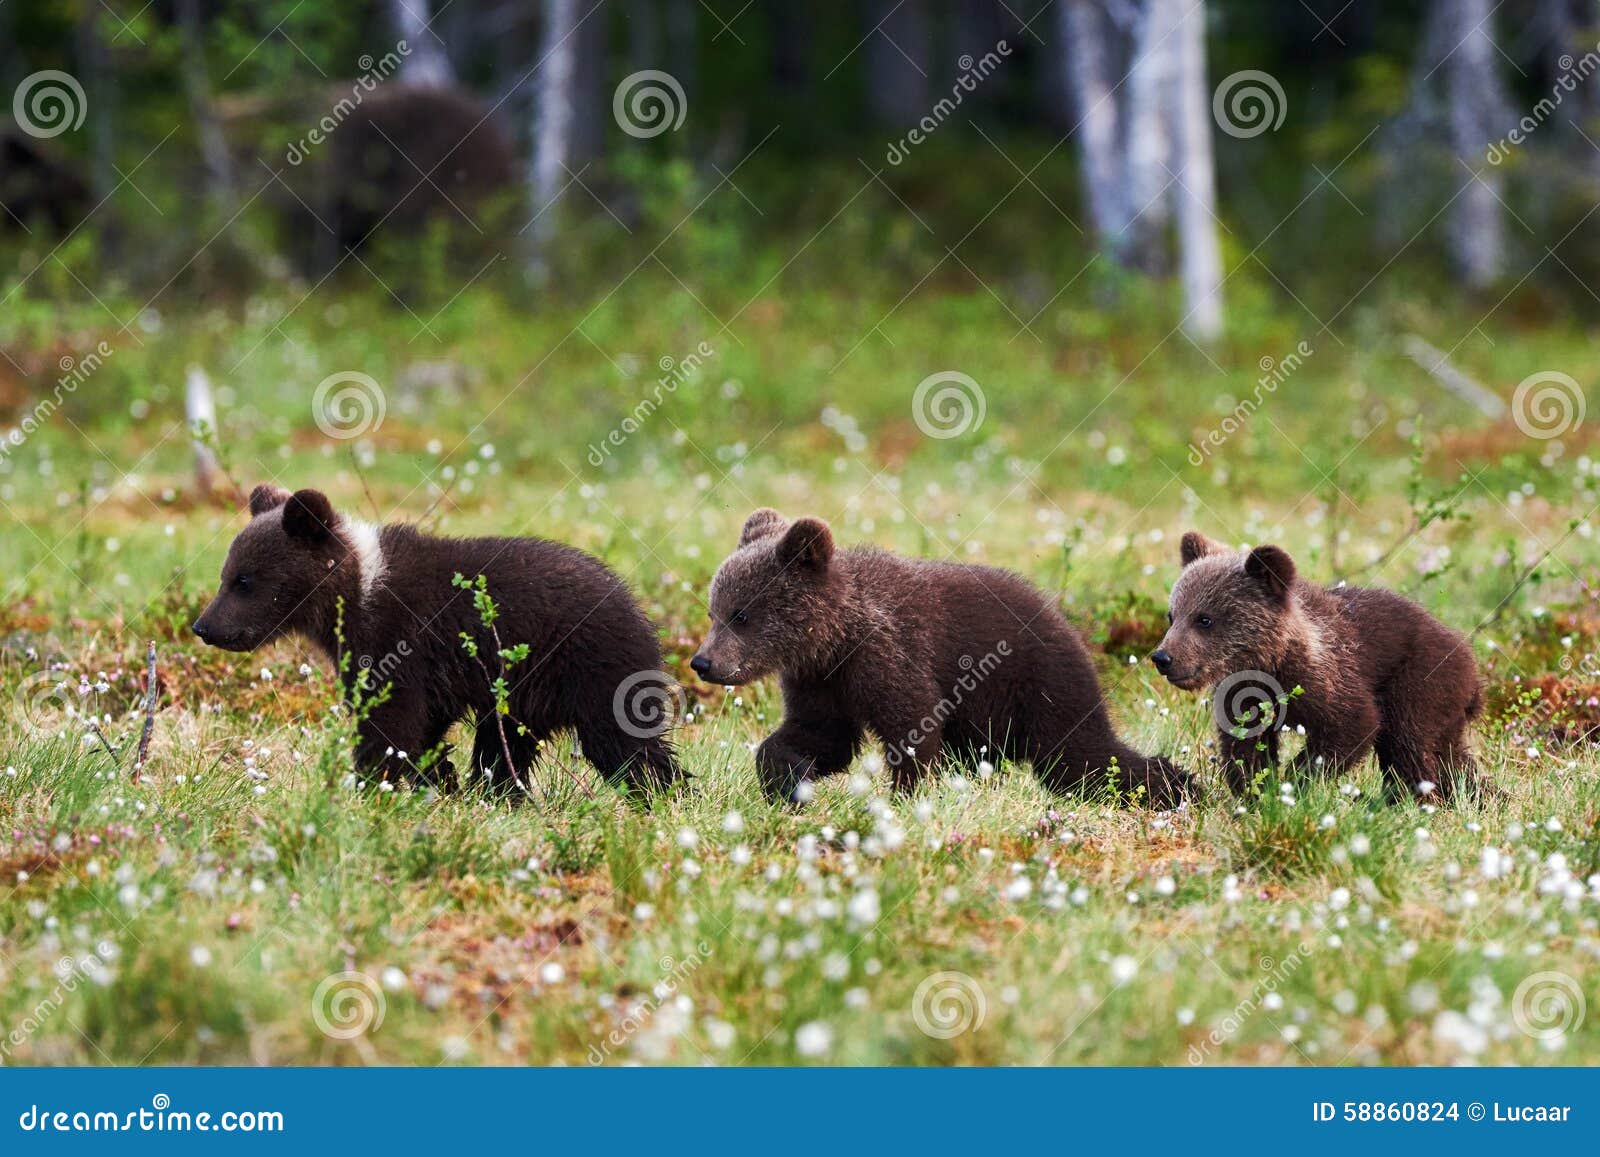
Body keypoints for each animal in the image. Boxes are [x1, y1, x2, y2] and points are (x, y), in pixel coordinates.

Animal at [192, 484, 680, 794]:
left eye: (244, 580)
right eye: (226, 575)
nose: (204, 627)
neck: (355, 592)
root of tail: (638, 605)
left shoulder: (396, 640)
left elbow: (389, 721)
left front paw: (372, 784)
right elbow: (424, 727)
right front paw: (438, 779)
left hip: (590, 666)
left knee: (622, 742)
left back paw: (661, 791)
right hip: (522, 695)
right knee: (505, 746)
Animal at [689, 508, 1189, 807]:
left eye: (741, 614)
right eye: (713, 611)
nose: (703, 662)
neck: (837, 639)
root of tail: (1070, 626)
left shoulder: (889, 655)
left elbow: (911, 725)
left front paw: (906, 797)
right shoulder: (820, 680)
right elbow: (821, 735)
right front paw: (787, 779)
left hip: (1040, 687)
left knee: (1083, 757)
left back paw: (1179, 785)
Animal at [1151, 531, 1482, 802]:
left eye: (1204, 619)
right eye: (1172, 615)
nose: (1163, 657)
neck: (1272, 663)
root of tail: (1471, 662)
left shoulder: (1332, 676)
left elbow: (1351, 725)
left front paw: (1294, 782)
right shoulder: (1243, 693)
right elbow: (1245, 745)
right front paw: (1256, 791)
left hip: (1420, 681)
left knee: (1411, 746)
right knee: (1451, 756)